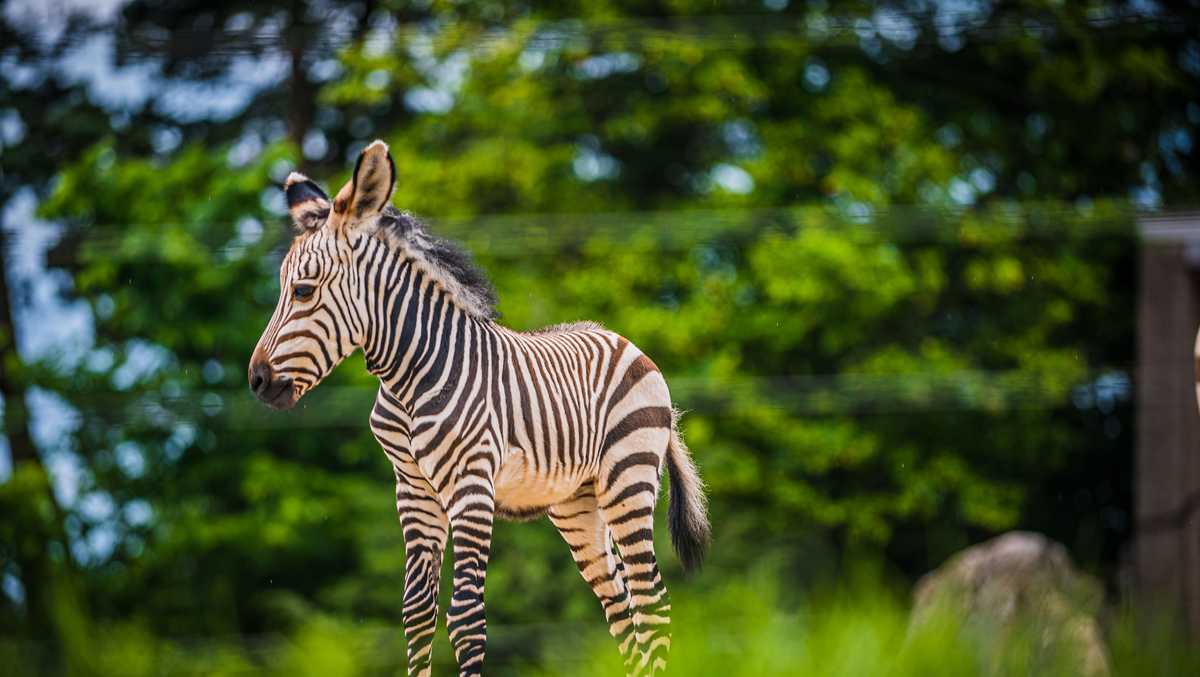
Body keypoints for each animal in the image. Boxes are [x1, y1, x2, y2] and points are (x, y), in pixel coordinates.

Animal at [247, 140, 710, 676]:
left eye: (302, 291)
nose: (257, 381)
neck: (409, 378)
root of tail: (623, 341)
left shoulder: (471, 485)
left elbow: (466, 616)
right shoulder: (413, 490)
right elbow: (417, 611)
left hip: (627, 477)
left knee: (650, 601)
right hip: (577, 501)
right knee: (620, 606)